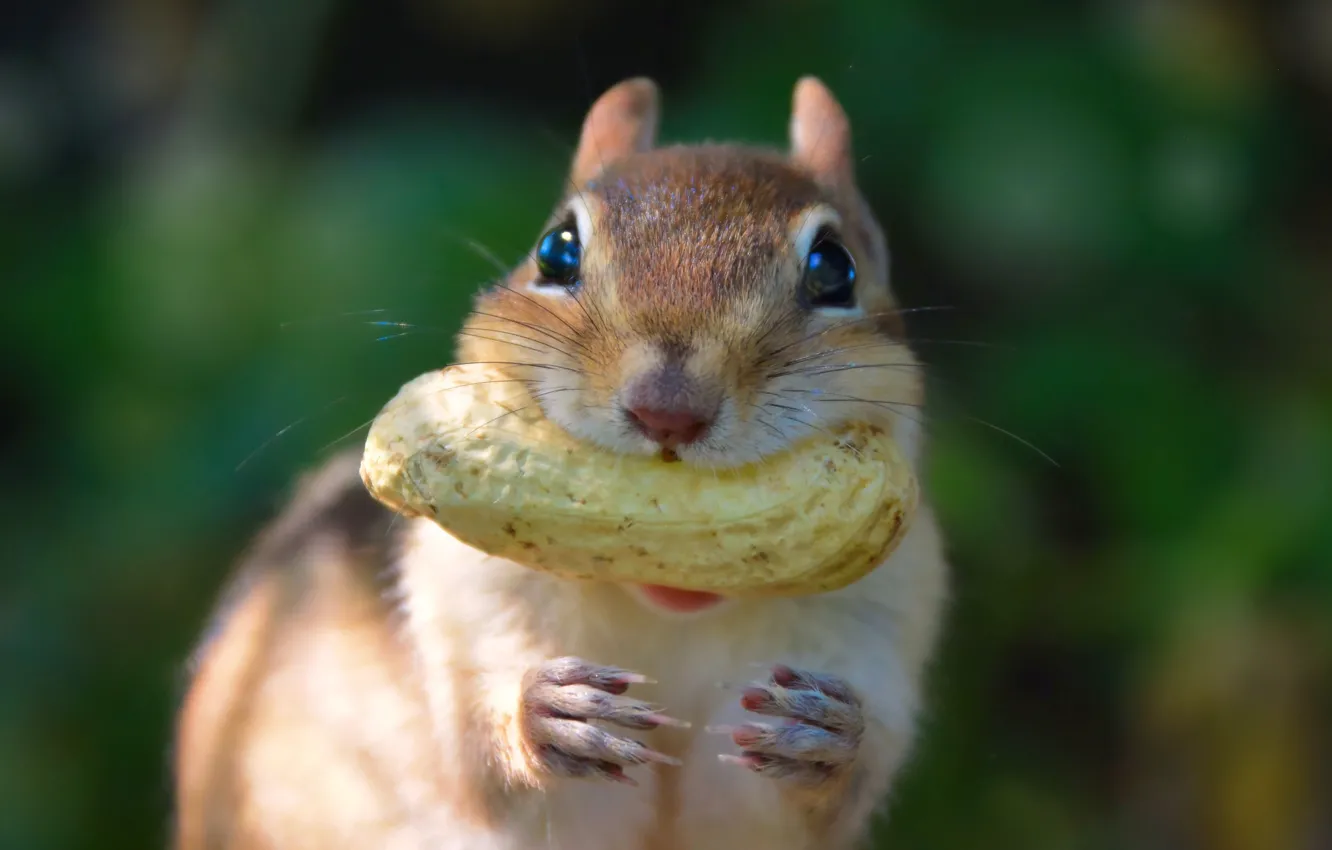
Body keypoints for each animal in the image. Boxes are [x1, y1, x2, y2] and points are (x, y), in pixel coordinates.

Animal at [171, 76, 950, 850]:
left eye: (835, 269)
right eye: (555, 251)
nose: (668, 408)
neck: (664, 619)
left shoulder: (874, 624)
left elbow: (781, 799)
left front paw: (823, 736)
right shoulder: (467, 602)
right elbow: (491, 776)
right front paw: (545, 715)